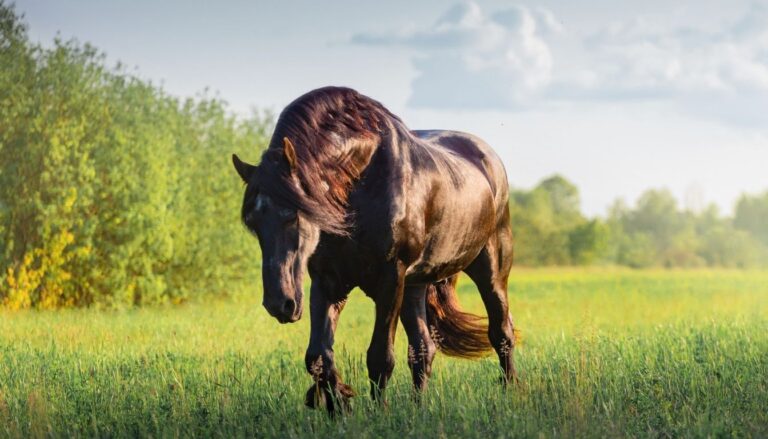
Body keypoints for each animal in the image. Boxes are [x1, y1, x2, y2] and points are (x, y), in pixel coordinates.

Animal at [232, 86, 517, 414]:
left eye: (293, 214)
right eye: (253, 222)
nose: (280, 304)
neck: (362, 181)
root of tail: (486, 156)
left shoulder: (390, 279)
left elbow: (380, 357)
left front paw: (379, 413)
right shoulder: (328, 282)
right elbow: (318, 357)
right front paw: (337, 405)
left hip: (490, 271)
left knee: (501, 333)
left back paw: (511, 394)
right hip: (415, 285)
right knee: (423, 348)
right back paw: (418, 408)